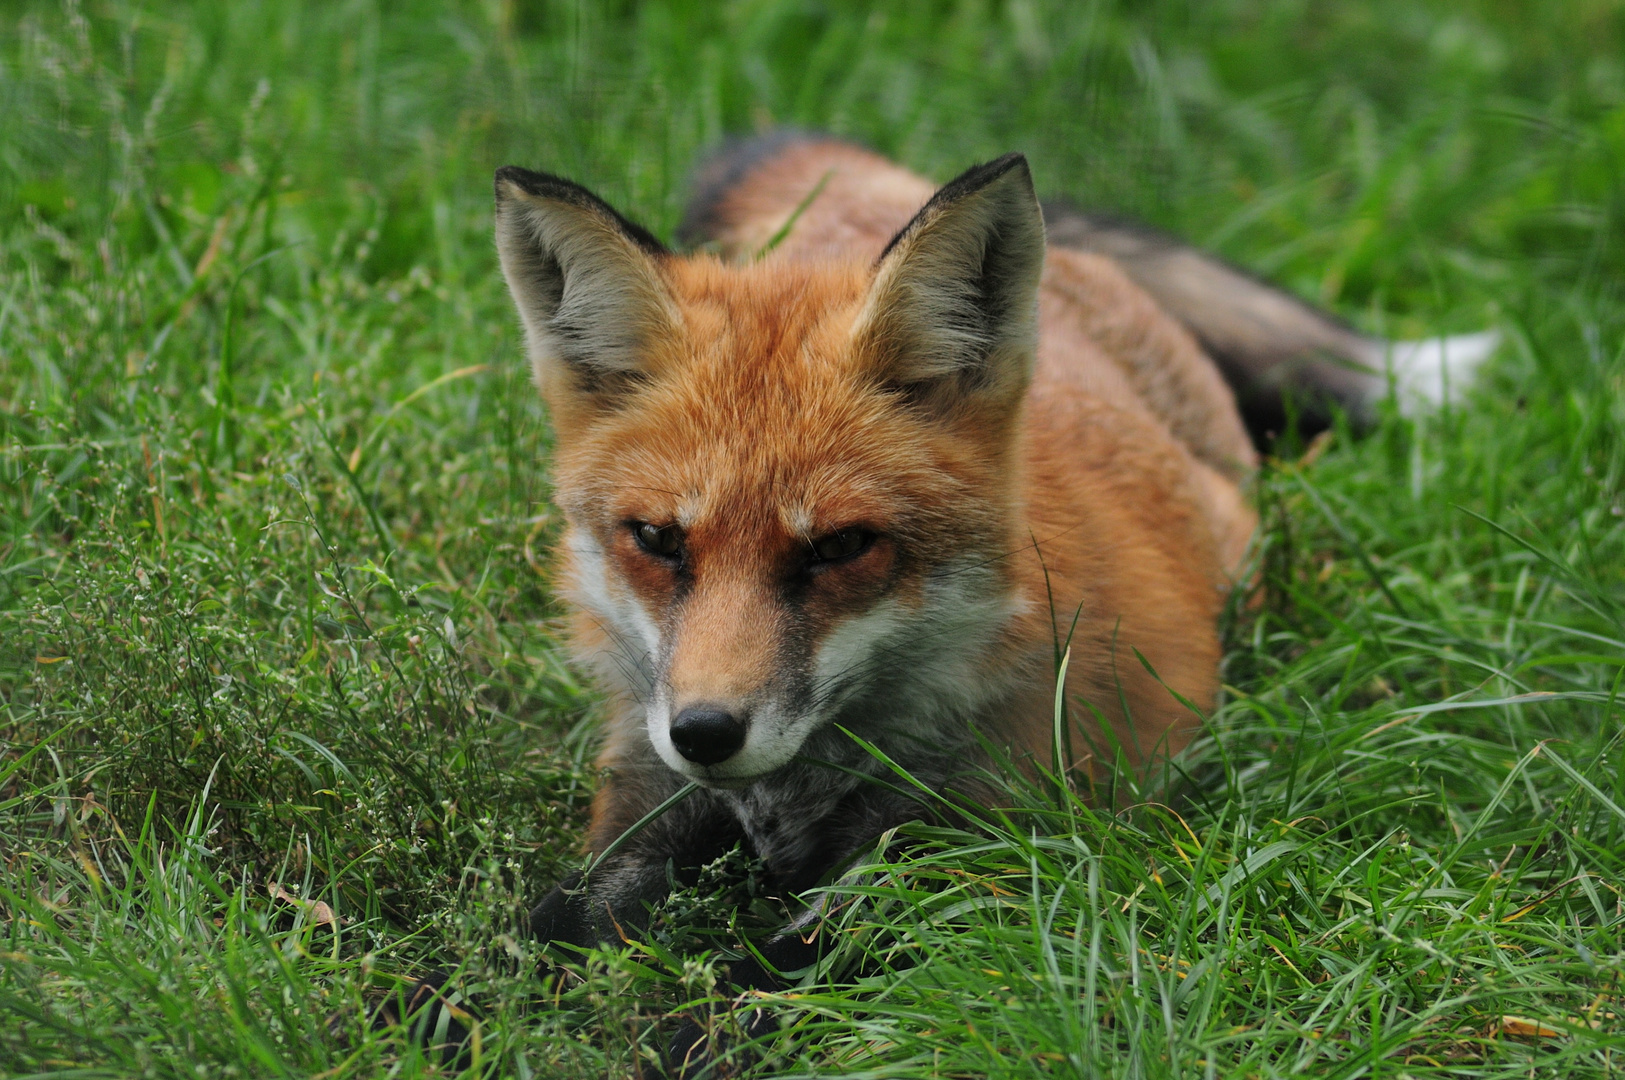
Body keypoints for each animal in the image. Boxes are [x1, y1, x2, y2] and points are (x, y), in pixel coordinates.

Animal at [407, 133, 1495, 1069]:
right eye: (658, 541)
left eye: (841, 547)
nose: (707, 732)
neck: (788, 801)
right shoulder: (642, 804)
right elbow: (514, 944)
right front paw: (434, 1015)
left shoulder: (963, 852)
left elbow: (756, 988)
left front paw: (662, 1034)